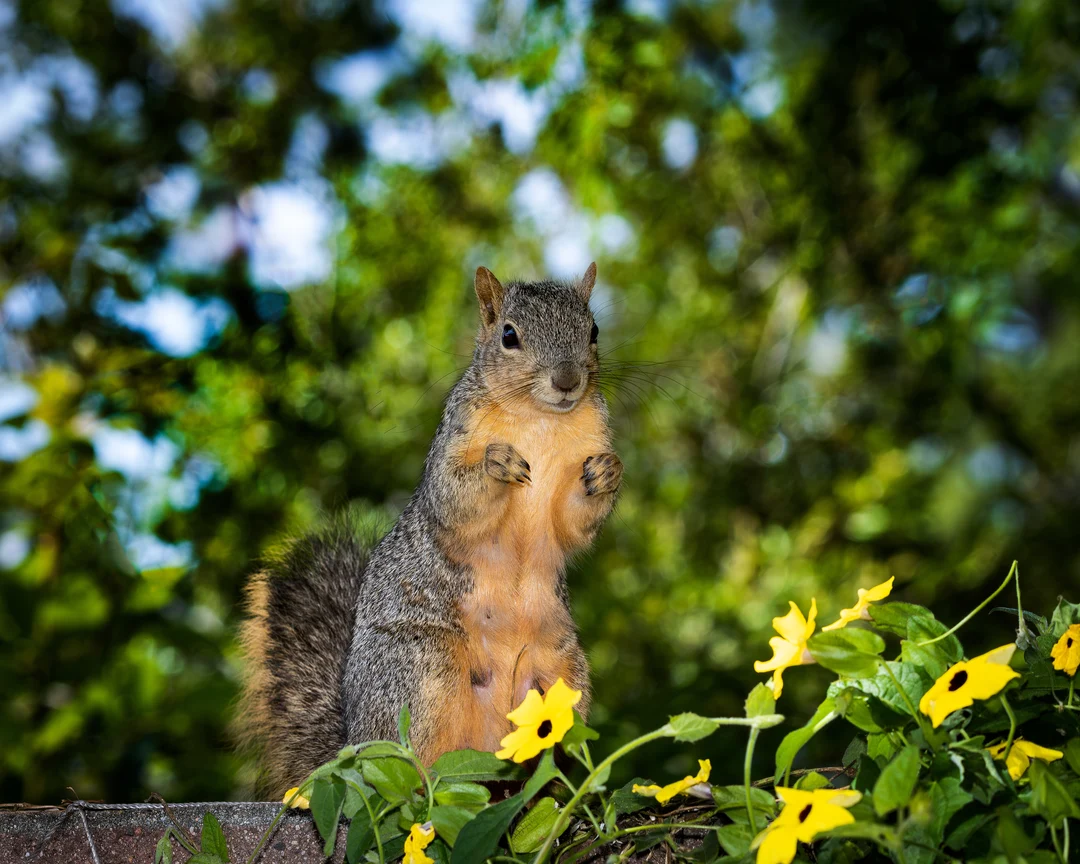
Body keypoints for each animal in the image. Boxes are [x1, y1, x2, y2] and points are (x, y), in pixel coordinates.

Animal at [237, 263, 623, 796]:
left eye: (593, 331)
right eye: (509, 335)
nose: (567, 381)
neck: (540, 420)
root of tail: (353, 744)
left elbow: (572, 527)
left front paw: (607, 474)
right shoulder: (454, 442)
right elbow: (453, 500)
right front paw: (495, 466)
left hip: (561, 675)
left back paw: (539, 788)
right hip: (420, 668)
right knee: (410, 764)